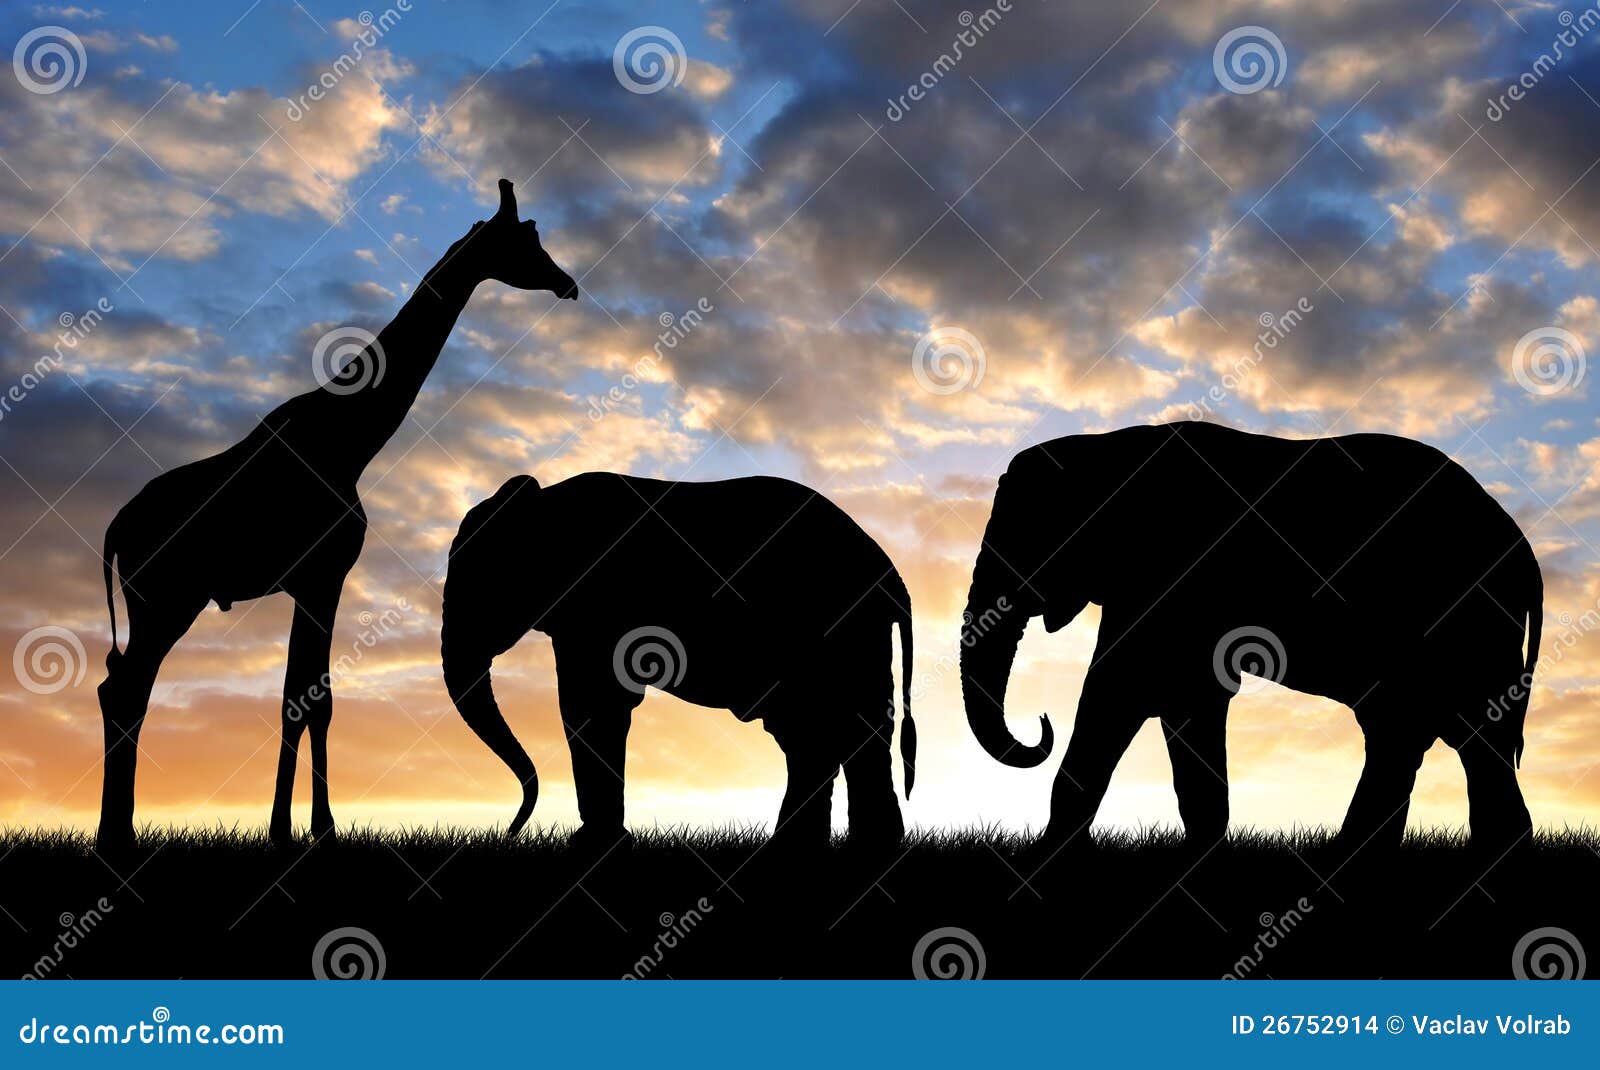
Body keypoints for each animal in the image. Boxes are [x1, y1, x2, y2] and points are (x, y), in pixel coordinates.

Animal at [95, 179, 576, 850]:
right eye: (526, 239)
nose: (567, 283)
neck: (350, 440)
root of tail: (116, 531)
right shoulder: (326, 574)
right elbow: (311, 699)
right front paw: (311, 829)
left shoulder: (310, 582)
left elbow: (301, 696)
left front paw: (292, 829)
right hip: (168, 598)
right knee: (125, 688)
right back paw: (117, 836)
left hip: (156, 601)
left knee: (120, 684)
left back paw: (116, 832)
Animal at [441, 472, 916, 850]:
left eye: (483, 584)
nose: (510, 830)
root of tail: (892, 573)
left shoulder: (598, 602)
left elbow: (594, 703)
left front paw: (593, 847)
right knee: (815, 731)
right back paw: (810, 847)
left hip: (838, 627)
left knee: (839, 726)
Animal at [960, 421, 1541, 853]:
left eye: (1030, 533)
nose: (1040, 724)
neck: (1106, 449)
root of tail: (1525, 552)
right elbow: (1175, 696)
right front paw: (1198, 853)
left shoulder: (1179, 575)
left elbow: (1120, 688)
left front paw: (1046, 860)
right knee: (1414, 730)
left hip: (1463, 617)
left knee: (1457, 729)